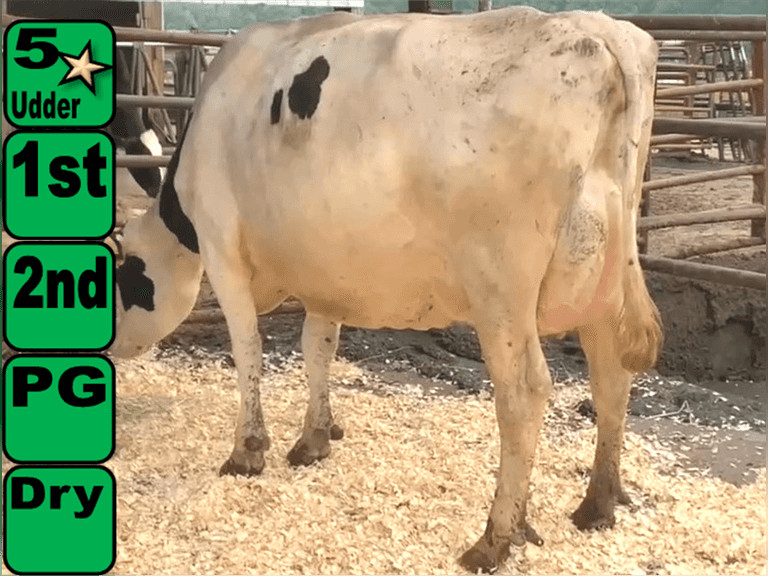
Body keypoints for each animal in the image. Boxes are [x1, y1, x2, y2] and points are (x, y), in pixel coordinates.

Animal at [110, 7, 661, 572]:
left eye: (124, 273)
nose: (115, 344)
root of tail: (599, 29)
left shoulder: (223, 251)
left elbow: (248, 350)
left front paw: (248, 450)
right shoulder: (325, 271)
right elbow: (318, 347)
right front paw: (315, 438)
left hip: (501, 291)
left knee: (524, 393)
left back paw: (495, 537)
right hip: (605, 281)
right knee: (611, 375)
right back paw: (597, 503)